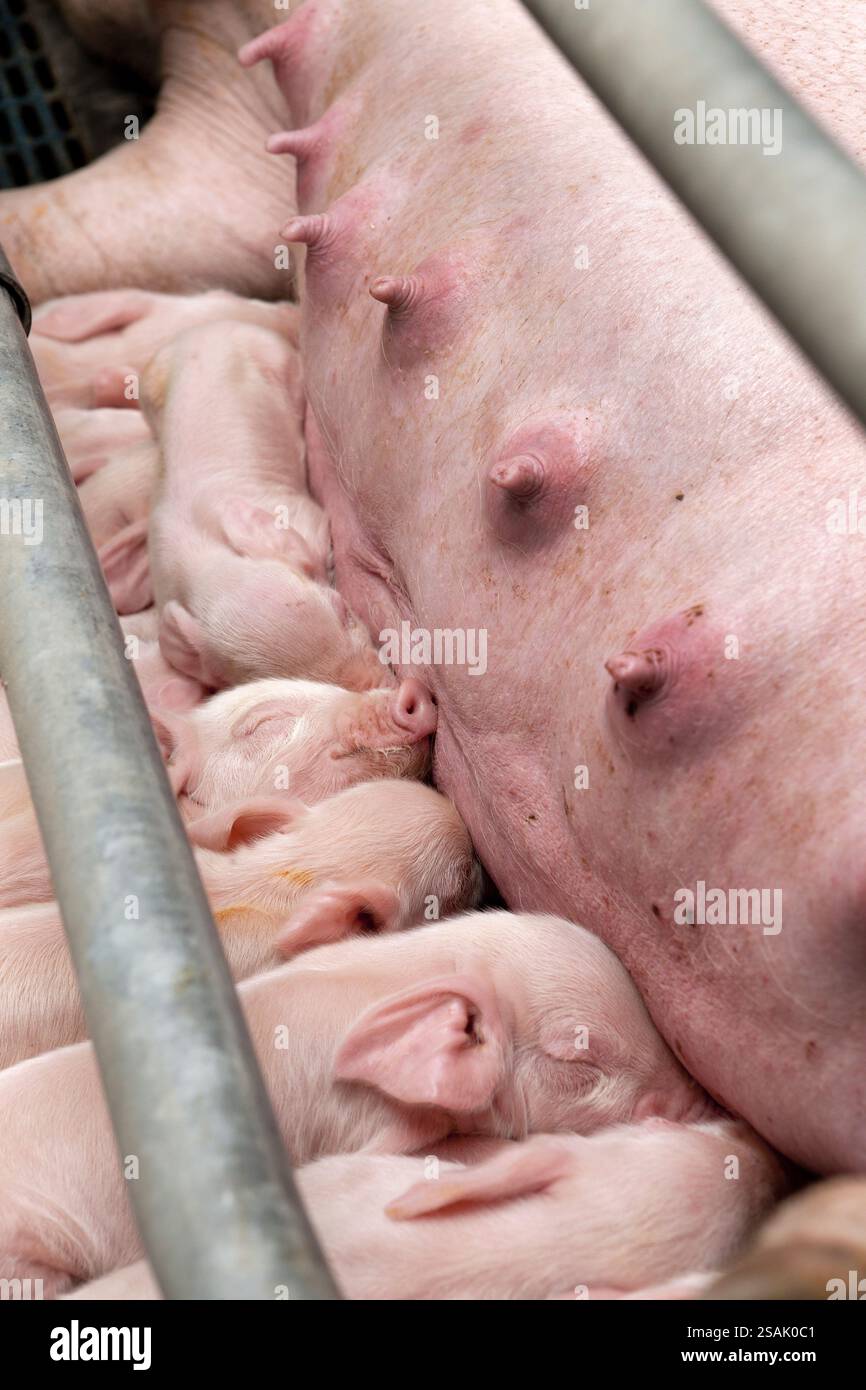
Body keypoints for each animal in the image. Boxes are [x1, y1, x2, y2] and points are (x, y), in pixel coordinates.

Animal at [137, 317, 388, 691]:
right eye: (292, 681)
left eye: (344, 610)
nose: (381, 684)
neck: (205, 558)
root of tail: (205, 329)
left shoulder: (299, 514)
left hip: (279, 357)